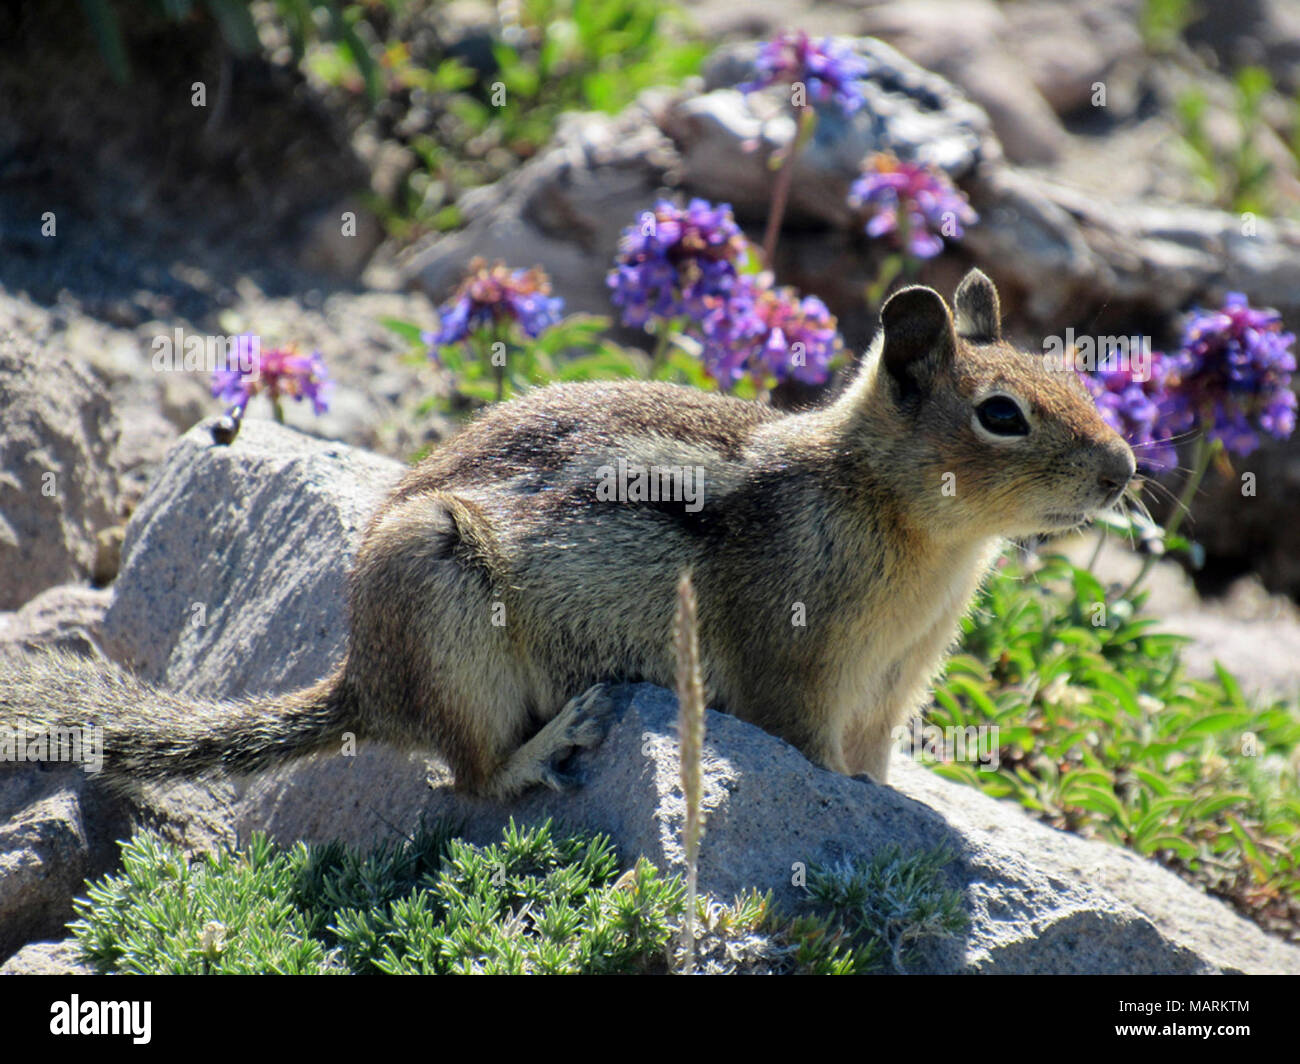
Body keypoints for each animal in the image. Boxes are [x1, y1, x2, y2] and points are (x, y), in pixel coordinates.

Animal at [2, 269, 1134, 800]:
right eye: (1000, 413)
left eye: (1072, 373)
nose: (1125, 468)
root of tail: (362, 678)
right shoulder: (799, 671)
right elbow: (807, 745)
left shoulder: (891, 692)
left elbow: (874, 766)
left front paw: (883, 797)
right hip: (445, 606)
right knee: (466, 777)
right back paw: (552, 743)